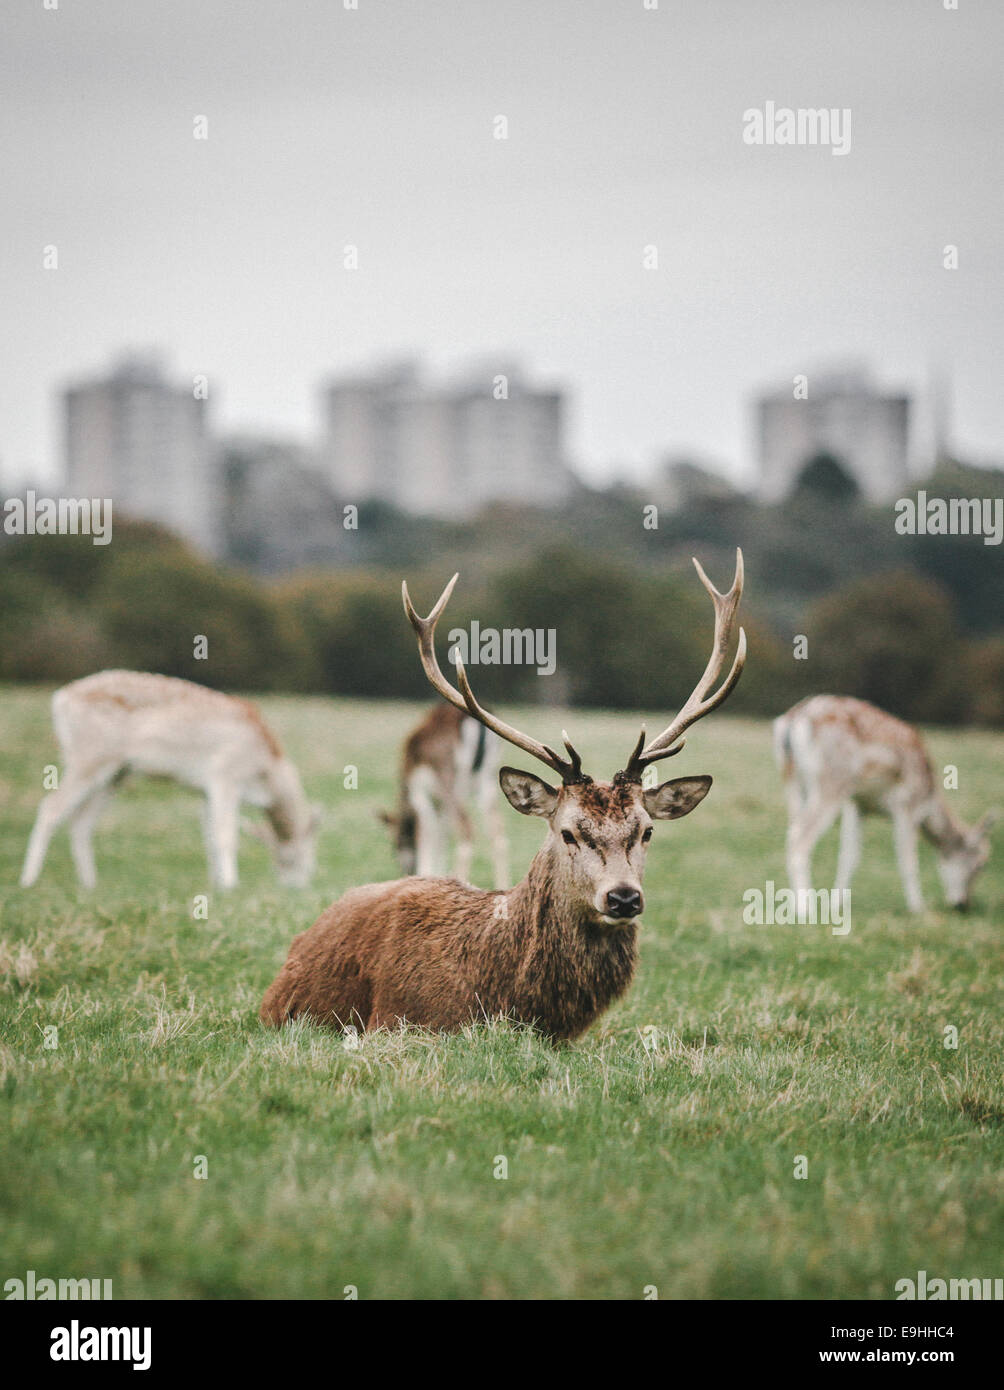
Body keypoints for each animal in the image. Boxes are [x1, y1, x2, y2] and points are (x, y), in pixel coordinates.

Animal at [19, 670, 321, 891]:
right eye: (288, 859)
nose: (296, 888)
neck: (265, 770)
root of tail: (60, 699)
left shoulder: (204, 791)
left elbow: (209, 837)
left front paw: (216, 885)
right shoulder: (225, 776)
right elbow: (225, 835)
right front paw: (230, 884)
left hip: (117, 773)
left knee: (81, 821)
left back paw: (90, 884)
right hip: (89, 757)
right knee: (50, 807)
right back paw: (28, 880)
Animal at [379, 703, 509, 888]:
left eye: (396, 843)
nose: (407, 871)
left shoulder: (419, 792)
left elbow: (428, 830)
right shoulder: (439, 803)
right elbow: (443, 833)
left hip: (450, 780)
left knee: (466, 828)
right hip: (489, 779)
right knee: (497, 833)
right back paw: (503, 886)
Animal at [774, 694, 997, 913]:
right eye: (981, 864)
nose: (963, 905)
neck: (928, 800)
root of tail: (793, 719)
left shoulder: (858, 804)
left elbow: (849, 856)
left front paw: (835, 905)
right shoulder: (907, 806)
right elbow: (907, 859)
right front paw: (918, 908)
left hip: (793, 784)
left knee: (793, 828)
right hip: (832, 782)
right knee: (799, 836)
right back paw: (805, 909)